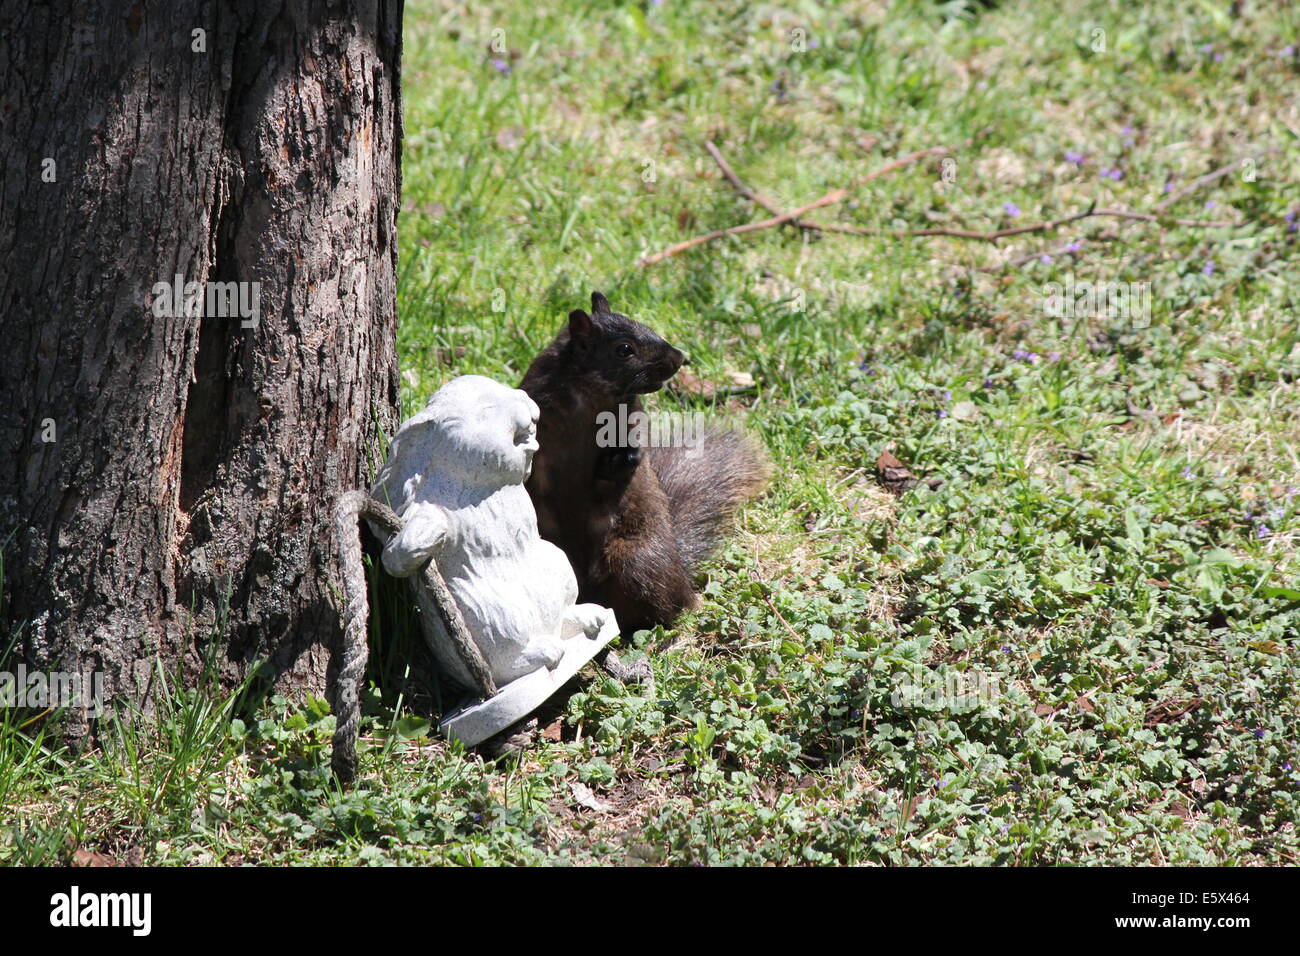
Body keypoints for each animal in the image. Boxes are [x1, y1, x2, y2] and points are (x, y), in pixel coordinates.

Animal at [520, 292, 770, 634]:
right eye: (624, 349)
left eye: (645, 325)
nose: (678, 358)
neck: (592, 395)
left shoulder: (631, 417)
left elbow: (637, 444)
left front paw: (619, 463)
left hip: (635, 559)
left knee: (664, 609)